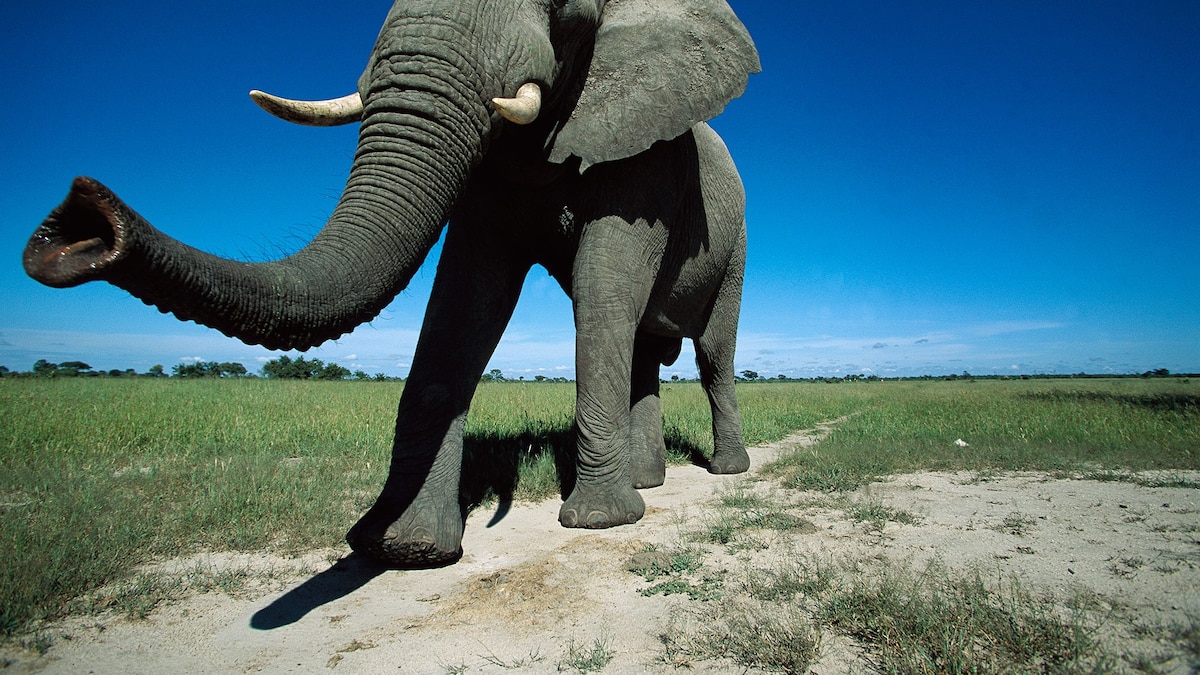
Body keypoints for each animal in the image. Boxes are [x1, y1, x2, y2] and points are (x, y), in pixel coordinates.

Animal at [22, 0, 760, 567]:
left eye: (563, 10)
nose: (78, 227)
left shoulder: (646, 149)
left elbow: (601, 294)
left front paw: (599, 523)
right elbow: (465, 299)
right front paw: (401, 547)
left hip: (738, 246)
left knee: (711, 353)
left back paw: (723, 472)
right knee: (644, 352)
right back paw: (650, 483)